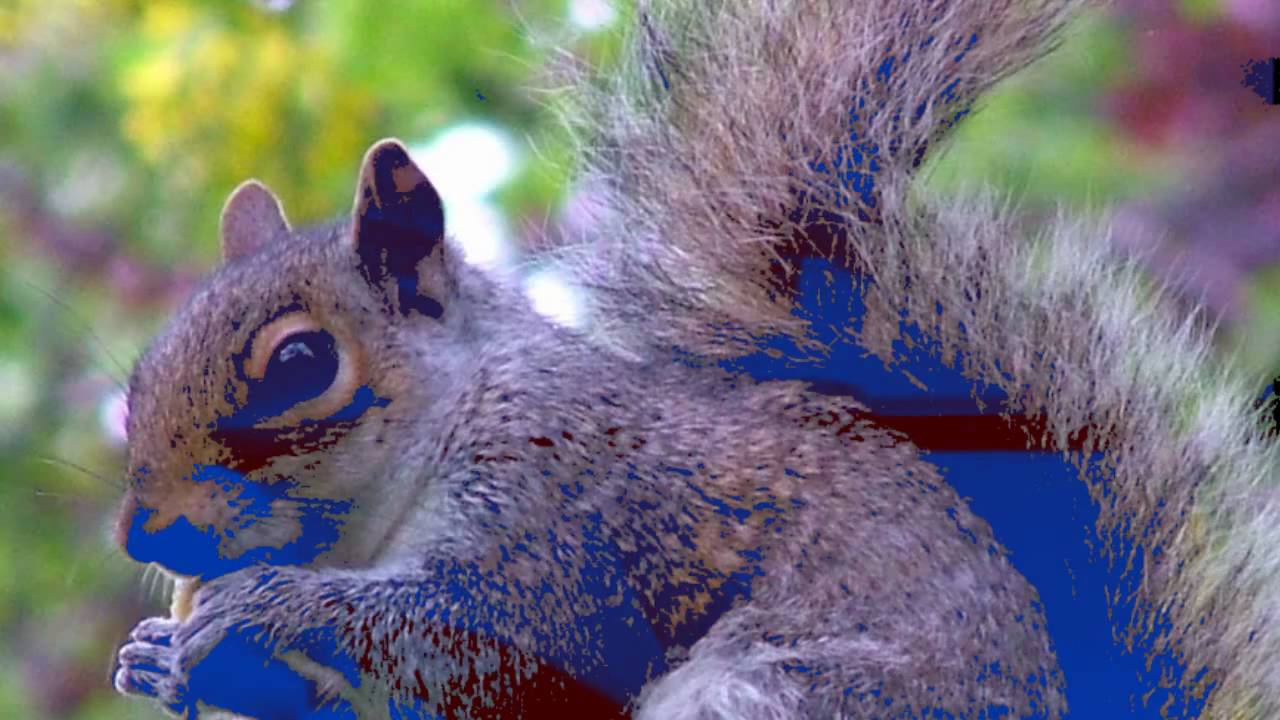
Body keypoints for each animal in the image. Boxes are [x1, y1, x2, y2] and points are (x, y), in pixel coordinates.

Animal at [109, 0, 1280, 718]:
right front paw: (159, 658)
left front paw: (262, 607)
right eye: (138, 377)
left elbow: (495, 639)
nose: (143, 535)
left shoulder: (565, 514)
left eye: (302, 363)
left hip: (787, 694)